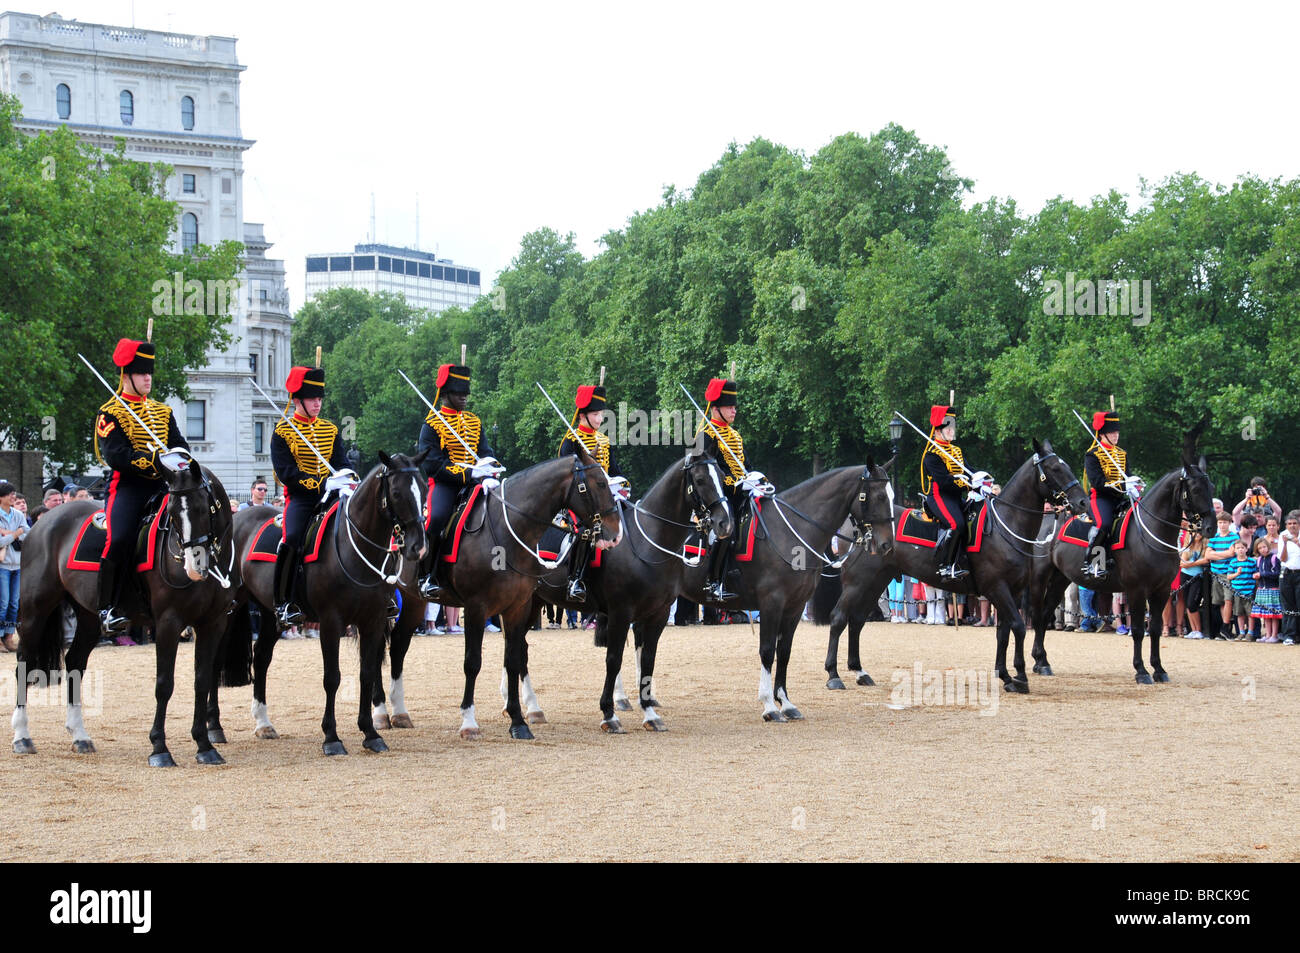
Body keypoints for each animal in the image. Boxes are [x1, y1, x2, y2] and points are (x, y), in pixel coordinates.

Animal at [12, 461, 241, 766]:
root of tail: (44, 520)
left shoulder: (213, 623)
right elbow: (164, 684)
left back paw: (80, 736)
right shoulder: (168, 623)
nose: (194, 566)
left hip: (88, 616)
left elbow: (202, 680)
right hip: (36, 609)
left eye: (204, 508)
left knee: (75, 662)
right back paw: (22, 736)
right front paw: (159, 748)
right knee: (23, 664)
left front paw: (204, 746)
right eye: (171, 514)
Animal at [225, 450, 428, 755]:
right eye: (396, 492)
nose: (418, 547)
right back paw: (213, 729)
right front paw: (331, 737)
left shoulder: (373, 620)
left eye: (424, 489)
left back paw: (263, 724)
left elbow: (367, 673)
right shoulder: (331, 622)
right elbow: (332, 677)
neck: (354, 547)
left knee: (260, 658)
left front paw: (370, 733)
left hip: (270, 612)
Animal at [682, 461, 898, 722]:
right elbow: (767, 651)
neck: (792, 530)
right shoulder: (771, 604)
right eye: (879, 496)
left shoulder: (794, 607)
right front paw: (768, 706)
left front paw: (785, 703)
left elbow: (784, 652)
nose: (887, 545)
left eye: (891, 496)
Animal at [824, 440, 1088, 694]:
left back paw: (860, 672)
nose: (1083, 501)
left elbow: (1003, 632)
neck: (1006, 527)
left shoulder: (1011, 592)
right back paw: (833, 675)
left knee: (857, 620)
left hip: (875, 581)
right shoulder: (997, 588)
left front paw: (1005, 676)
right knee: (838, 618)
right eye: (1054, 468)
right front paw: (1020, 676)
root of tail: (855, 524)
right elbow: (1019, 627)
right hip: (857, 582)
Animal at [1025, 442, 1216, 683]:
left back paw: (1042, 662)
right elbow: (1138, 629)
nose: (1211, 528)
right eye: (1196, 489)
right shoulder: (1137, 589)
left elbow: (1155, 628)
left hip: (1061, 579)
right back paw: (1039, 661)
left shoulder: (1162, 590)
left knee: (1044, 615)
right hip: (1040, 578)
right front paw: (1141, 671)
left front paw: (1159, 669)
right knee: (1038, 614)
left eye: (1211, 487)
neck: (1151, 532)